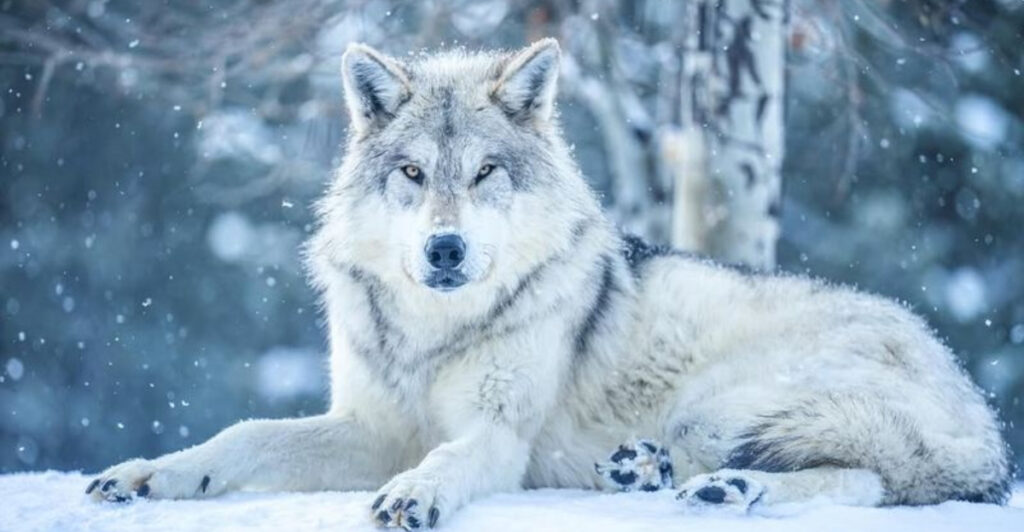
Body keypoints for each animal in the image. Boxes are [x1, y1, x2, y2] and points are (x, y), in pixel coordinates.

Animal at [87, 39, 1012, 527]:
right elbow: (241, 437)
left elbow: (450, 459)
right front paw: (148, 476)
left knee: (867, 483)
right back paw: (649, 473)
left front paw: (417, 495)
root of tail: (982, 411)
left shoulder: (495, 433)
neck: (434, 333)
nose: (446, 249)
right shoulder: (371, 427)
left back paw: (727, 488)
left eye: (486, 172)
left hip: (726, 405)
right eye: (414, 174)